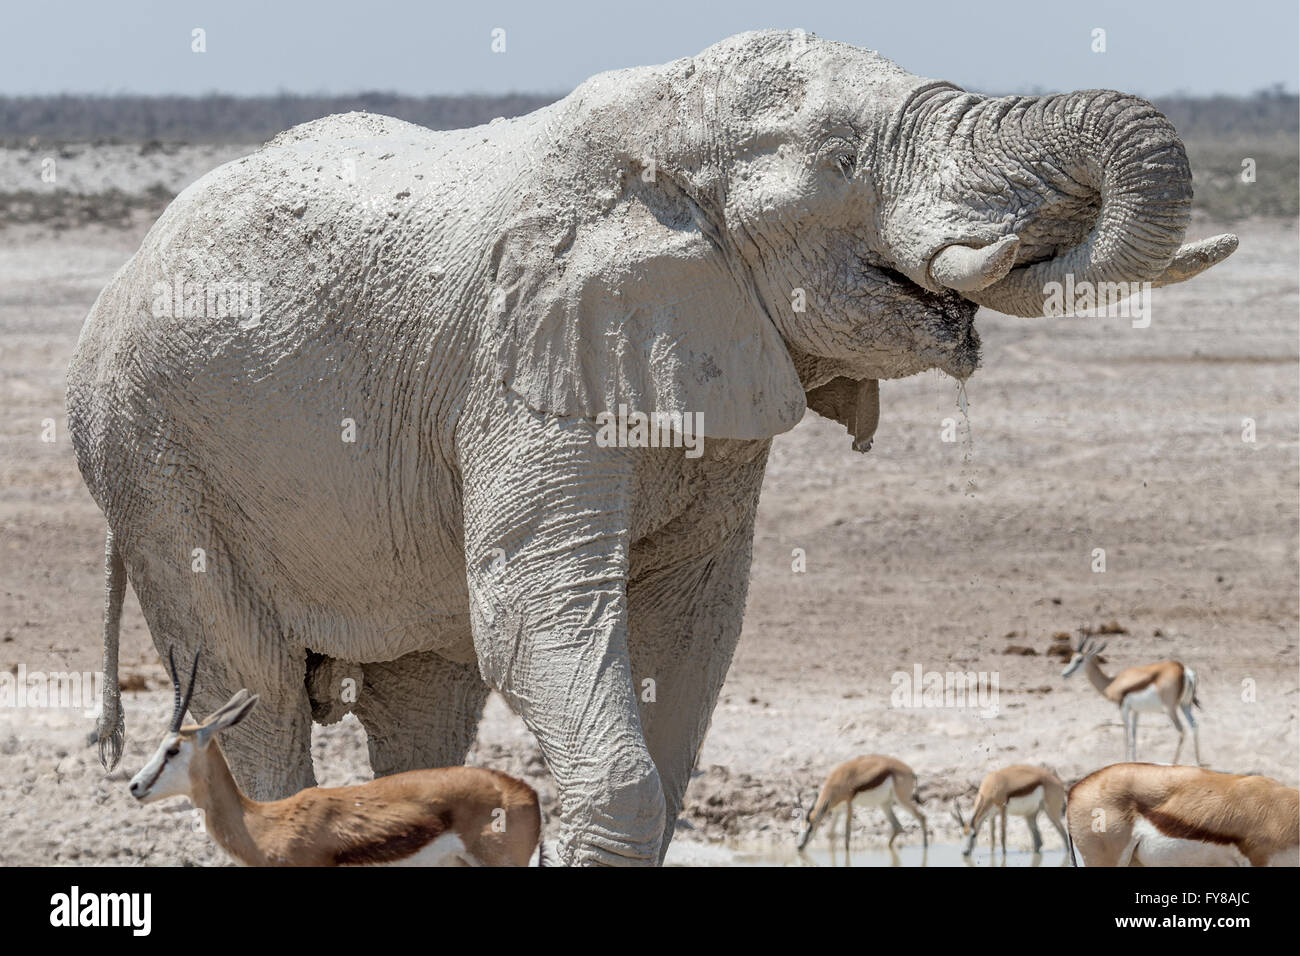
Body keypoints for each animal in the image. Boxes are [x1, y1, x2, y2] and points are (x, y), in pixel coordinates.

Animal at [67, 30, 1236, 865]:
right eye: (843, 162)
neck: (661, 132)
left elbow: (694, 615)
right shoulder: (523, 363)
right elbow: (532, 610)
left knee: (424, 699)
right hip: (153, 466)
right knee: (259, 691)